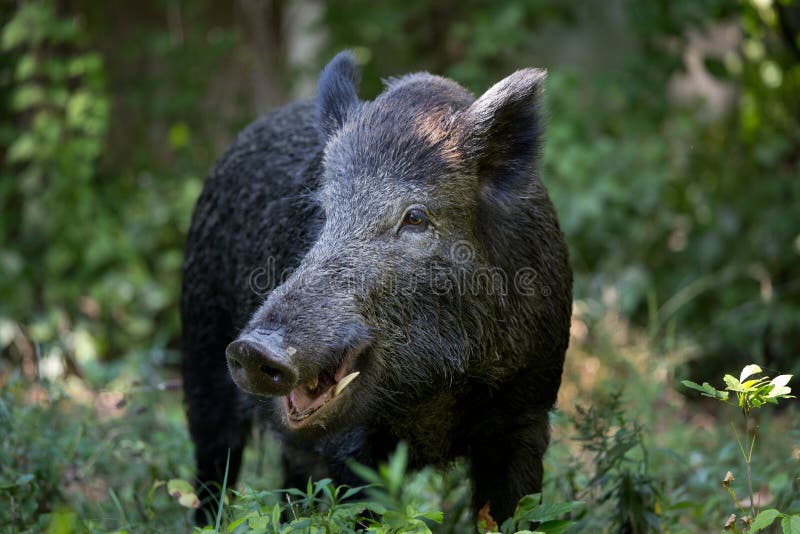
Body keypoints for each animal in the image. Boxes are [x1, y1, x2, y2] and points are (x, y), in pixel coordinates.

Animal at [181, 51, 572, 524]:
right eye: (324, 211)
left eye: (416, 217)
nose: (255, 348)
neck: (437, 390)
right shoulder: (352, 450)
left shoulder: (527, 413)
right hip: (200, 354)